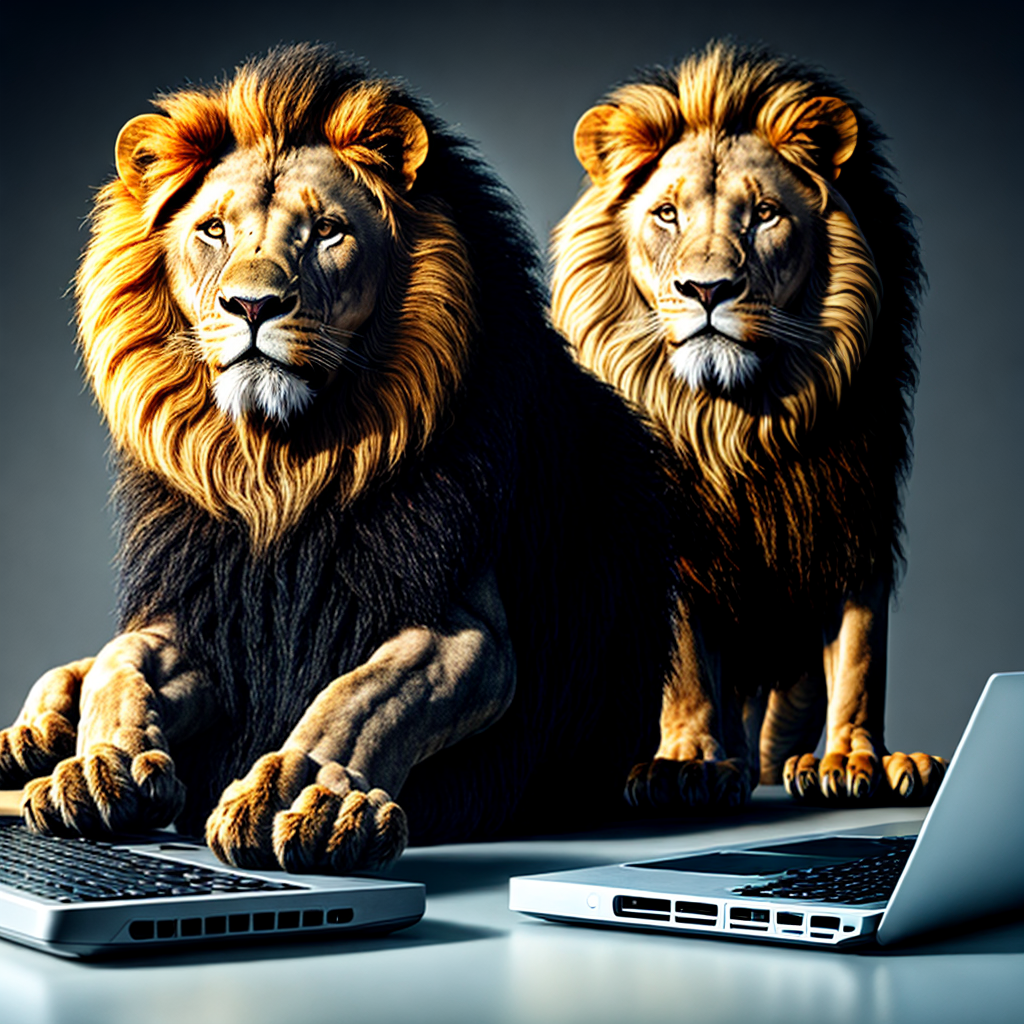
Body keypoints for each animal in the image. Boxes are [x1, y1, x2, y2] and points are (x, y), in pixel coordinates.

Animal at [0, 44, 676, 872]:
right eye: (213, 229)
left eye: (326, 231)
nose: (252, 306)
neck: (281, 470)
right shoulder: (209, 611)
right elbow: (120, 663)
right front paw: (96, 763)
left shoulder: (463, 631)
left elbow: (358, 697)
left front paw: (298, 791)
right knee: (78, 669)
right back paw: (31, 737)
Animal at [551, 42, 947, 807]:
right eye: (667, 214)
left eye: (764, 214)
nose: (707, 290)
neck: (734, 421)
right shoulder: (676, 539)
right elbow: (684, 665)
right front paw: (684, 763)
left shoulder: (854, 511)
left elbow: (861, 653)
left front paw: (857, 760)